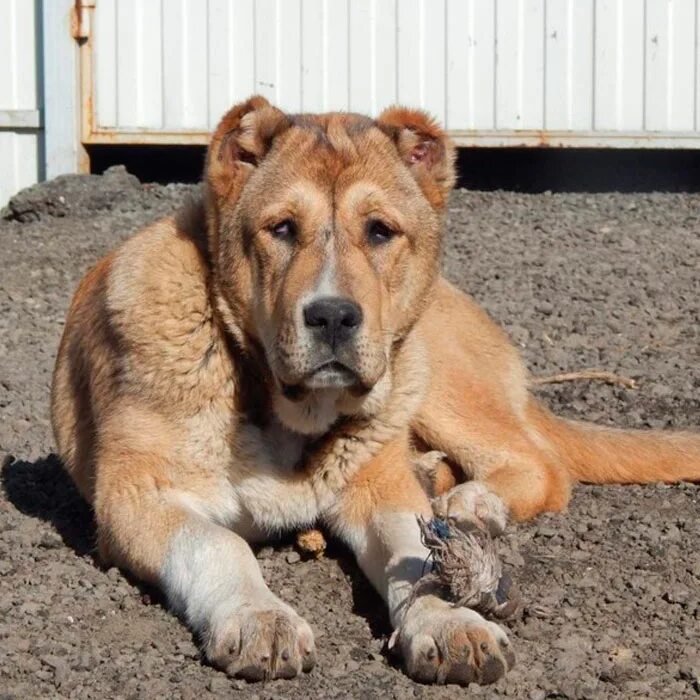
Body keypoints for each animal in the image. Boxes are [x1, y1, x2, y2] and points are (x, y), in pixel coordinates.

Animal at [53, 97, 700, 684]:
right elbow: (219, 544)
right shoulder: (136, 496)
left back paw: (473, 501)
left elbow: (416, 553)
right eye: (281, 228)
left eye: (381, 231)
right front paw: (262, 618)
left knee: (540, 464)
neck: (281, 405)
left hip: (430, 377)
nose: (333, 315)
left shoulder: (379, 486)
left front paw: (449, 621)